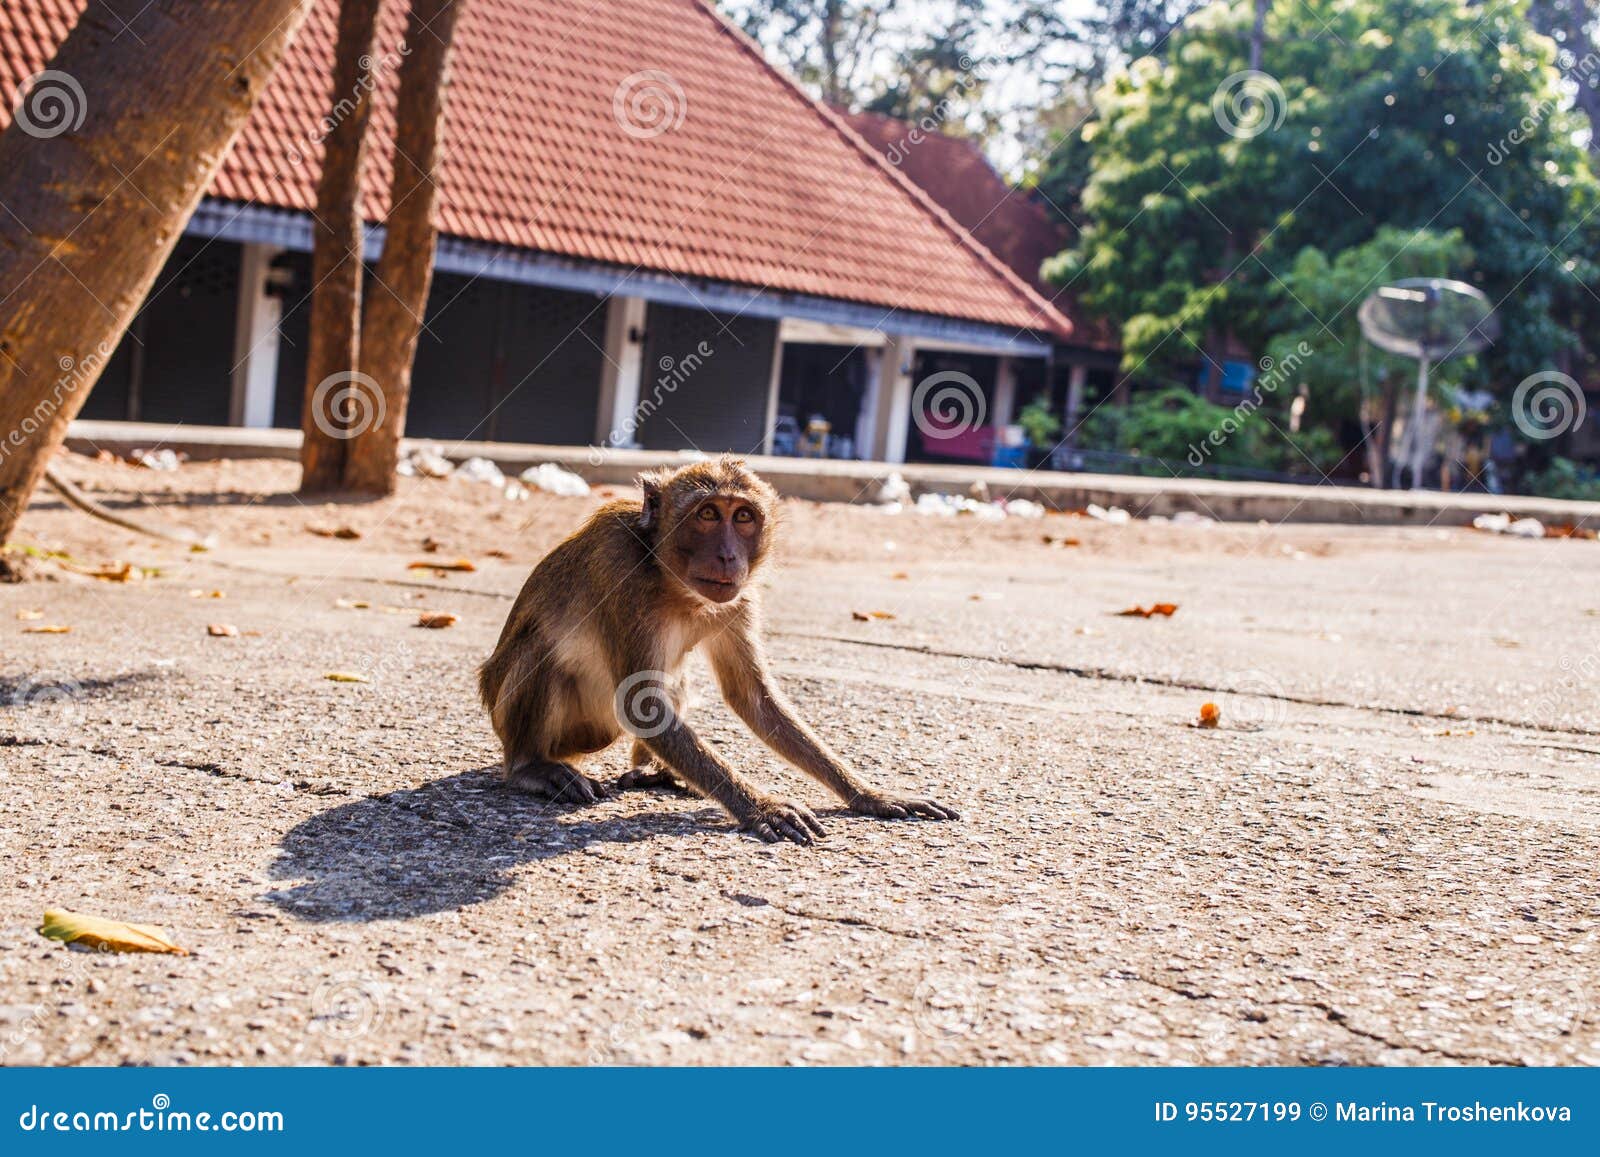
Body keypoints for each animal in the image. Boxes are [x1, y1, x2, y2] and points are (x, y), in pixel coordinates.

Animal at [478, 456, 958, 845]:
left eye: (743, 517)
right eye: (707, 514)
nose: (728, 556)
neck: (667, 575)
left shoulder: (739, 598)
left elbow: (752, 696)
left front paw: (869, 794)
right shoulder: (619, 571)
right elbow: (640, 705)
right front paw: (762, 806)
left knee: (676, 679)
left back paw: (653, 770)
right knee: (542, 655)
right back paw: (531, 767)